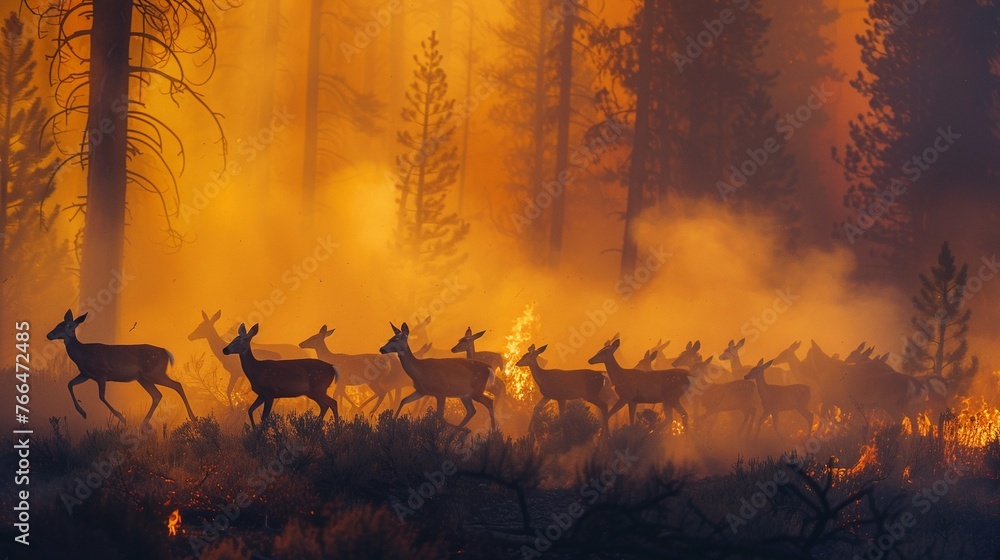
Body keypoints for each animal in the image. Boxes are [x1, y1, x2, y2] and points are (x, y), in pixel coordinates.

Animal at [47, 310, 196, 427]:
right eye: (58, 324)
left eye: (68, 325)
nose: (49, 335)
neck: (84, 355)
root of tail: (165, 352)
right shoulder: (85, 374)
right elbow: (69, 384)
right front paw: (83, 413)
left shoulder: (103, 372)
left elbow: (101, 396)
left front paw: (122, 417)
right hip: (143, 378)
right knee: (157, 395)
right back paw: (143, 424)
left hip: (154, 373)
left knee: (177, 385)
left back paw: (193, 417)